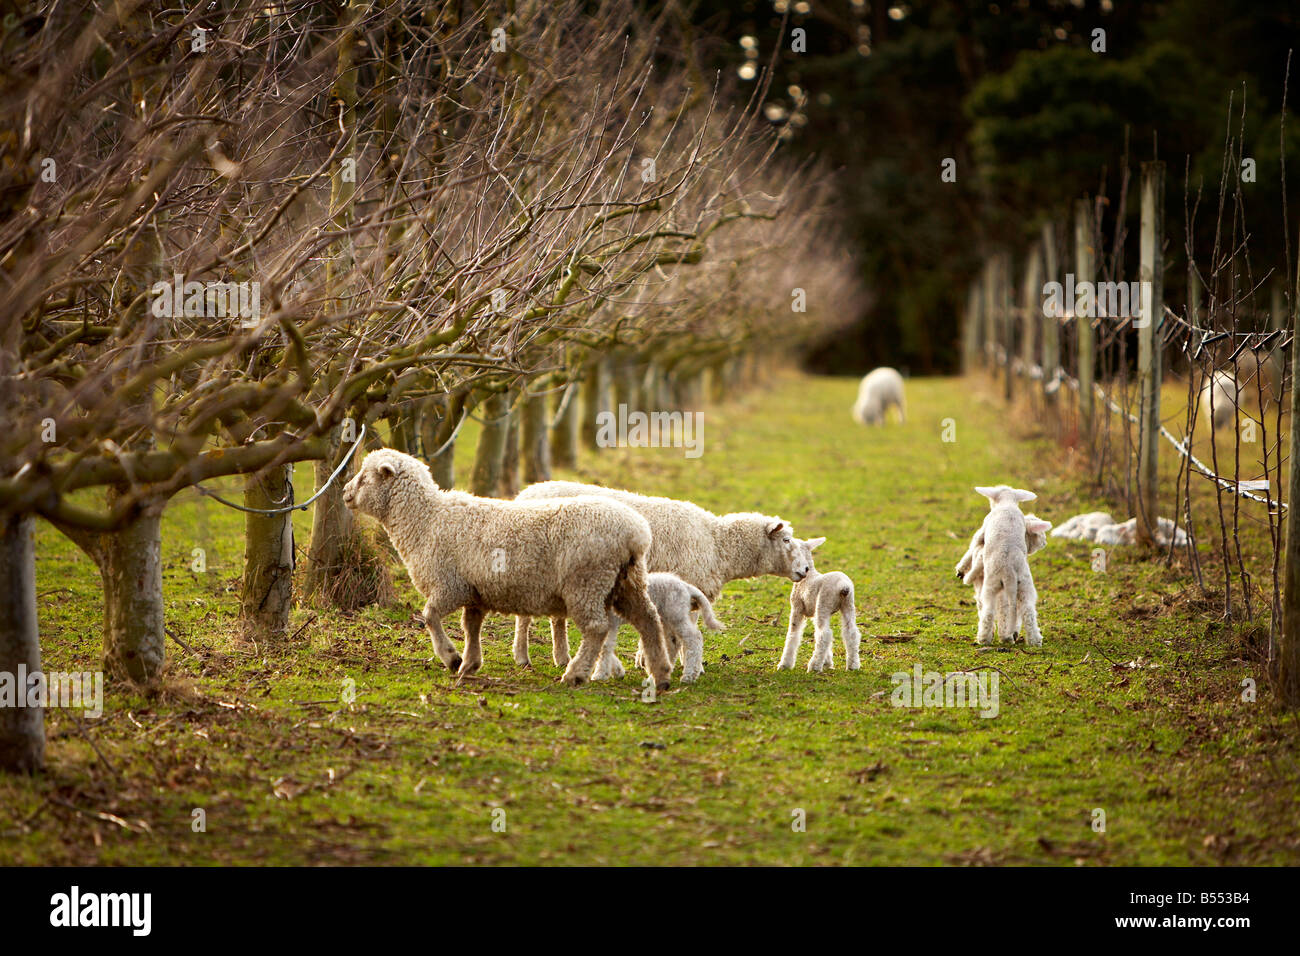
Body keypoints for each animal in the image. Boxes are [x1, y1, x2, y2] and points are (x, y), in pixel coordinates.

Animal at [341, 449, 673, 690]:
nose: (344, 492)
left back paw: (575, 674)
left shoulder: (450, 585)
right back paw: (661, 673)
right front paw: (470, 664)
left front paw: (451, 658)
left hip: (587, 581)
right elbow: (471, 626)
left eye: (365, 477)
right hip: (626, 580)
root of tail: (636, 533)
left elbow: (430, 616)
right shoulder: (474, 592)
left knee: (596, 629)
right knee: (648, 619)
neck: (425, 520)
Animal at [513, 480, 800, 678]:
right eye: (786, 540)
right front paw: (689, 664)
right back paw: (522, 656)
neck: (718, 545)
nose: (804, 571)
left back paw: (561, 657)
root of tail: (525, 493)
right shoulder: (687, 586)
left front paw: (646, 659)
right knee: (524, 618)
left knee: (556, 619)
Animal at [777, 536, 861, 672]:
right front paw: (827, 662)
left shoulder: (797, 607)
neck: (808, 575)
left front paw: (785, 664)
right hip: (848, 604)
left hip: (823, 603)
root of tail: (844, 586)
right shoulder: (813, 611)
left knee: (824, 634)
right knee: (851, 632)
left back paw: (814, 666)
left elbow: (793, 634)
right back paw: (853, 665)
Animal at [969, 485, 1049, 646]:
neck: (1007, 503)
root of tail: (1009, 572)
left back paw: (984, 639)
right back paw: (1035, 641)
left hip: (993, 586)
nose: (1044, 542)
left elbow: (974, 542)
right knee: (1027, 611)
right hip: (1022, 586)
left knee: (989, 612)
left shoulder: (983, 528)